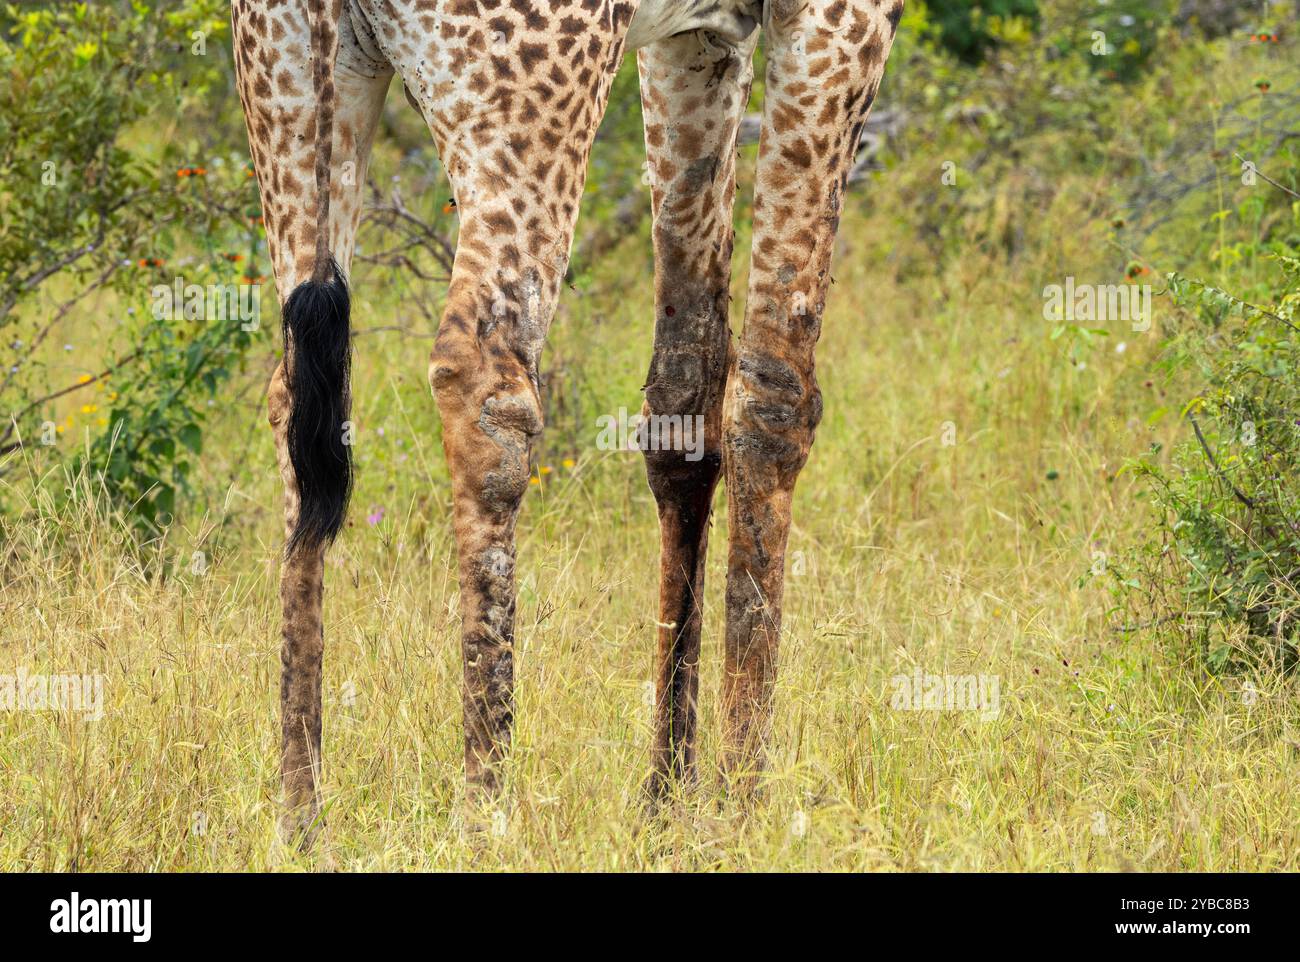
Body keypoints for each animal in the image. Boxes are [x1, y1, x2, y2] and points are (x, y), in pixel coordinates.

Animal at [231, 0, 901, 844]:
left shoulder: (698, 39)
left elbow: (685, 391)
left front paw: (667, 801)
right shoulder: (837, 20)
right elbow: (775, 391)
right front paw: (741, 808)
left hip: (291, 89)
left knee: (299, 395)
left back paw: (301, 815)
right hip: (522, 105)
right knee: (481, 379)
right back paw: (482, 807)